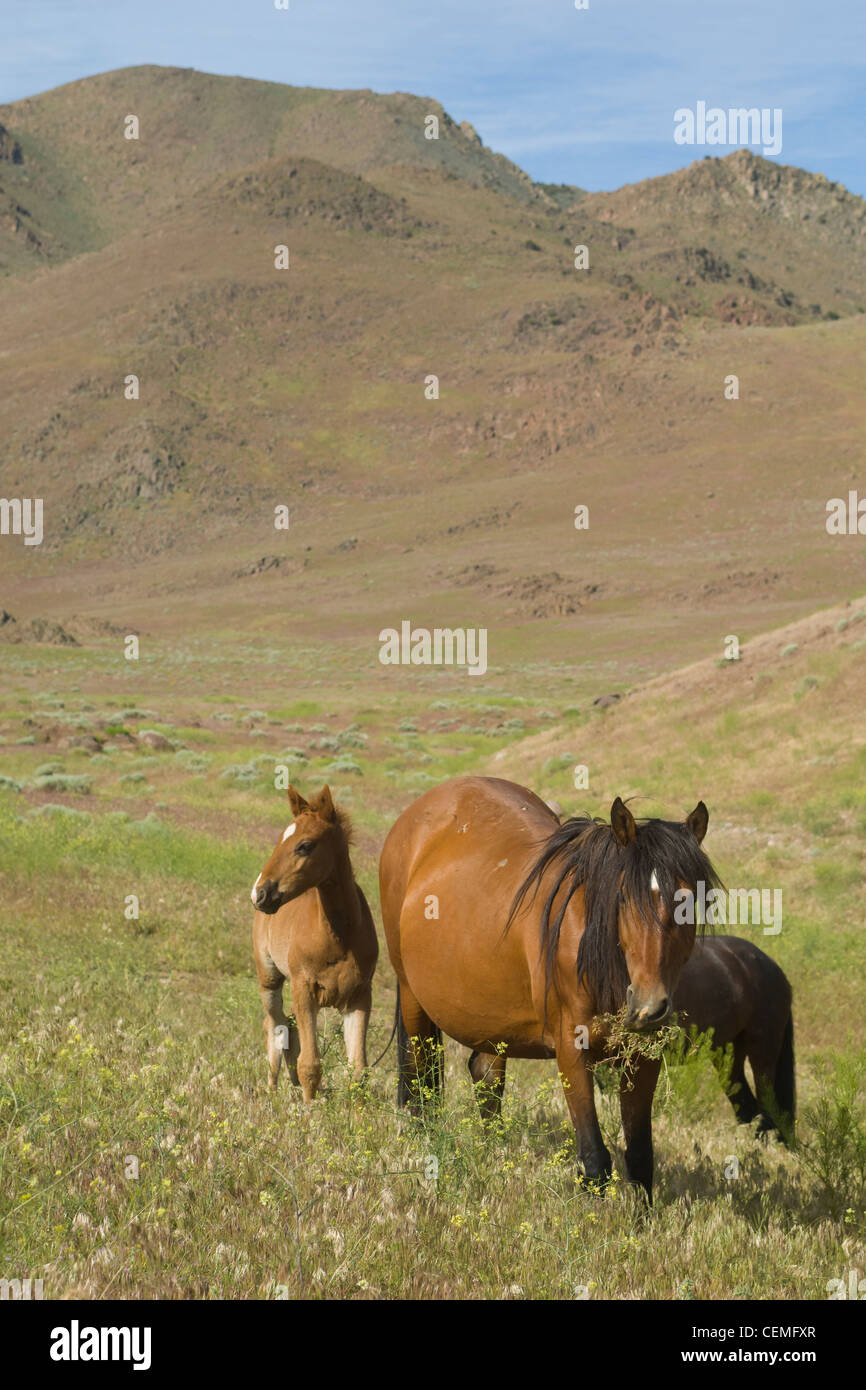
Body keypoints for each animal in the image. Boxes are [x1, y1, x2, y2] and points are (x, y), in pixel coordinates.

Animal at [250, 784, 378, 1101]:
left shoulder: (359, 996)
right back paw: (272, 1089)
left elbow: (358, 1069)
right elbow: (310, 1064)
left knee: (289, 1026)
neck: (339, 936)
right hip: (270, 979)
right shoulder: (303, 988)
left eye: (305, 845)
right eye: (280, 838)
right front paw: (310, 1112)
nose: (260, 892)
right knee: (275, 1025)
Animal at [379, 775, 721, 1201]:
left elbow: (641, 1159)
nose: (648, 1006)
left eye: (692, 903)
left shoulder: (643, 1059)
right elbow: (595, 1161)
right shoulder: (571, 1051)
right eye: (624, 897)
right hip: (412, 997)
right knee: (420, 1084)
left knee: (485, 1076)